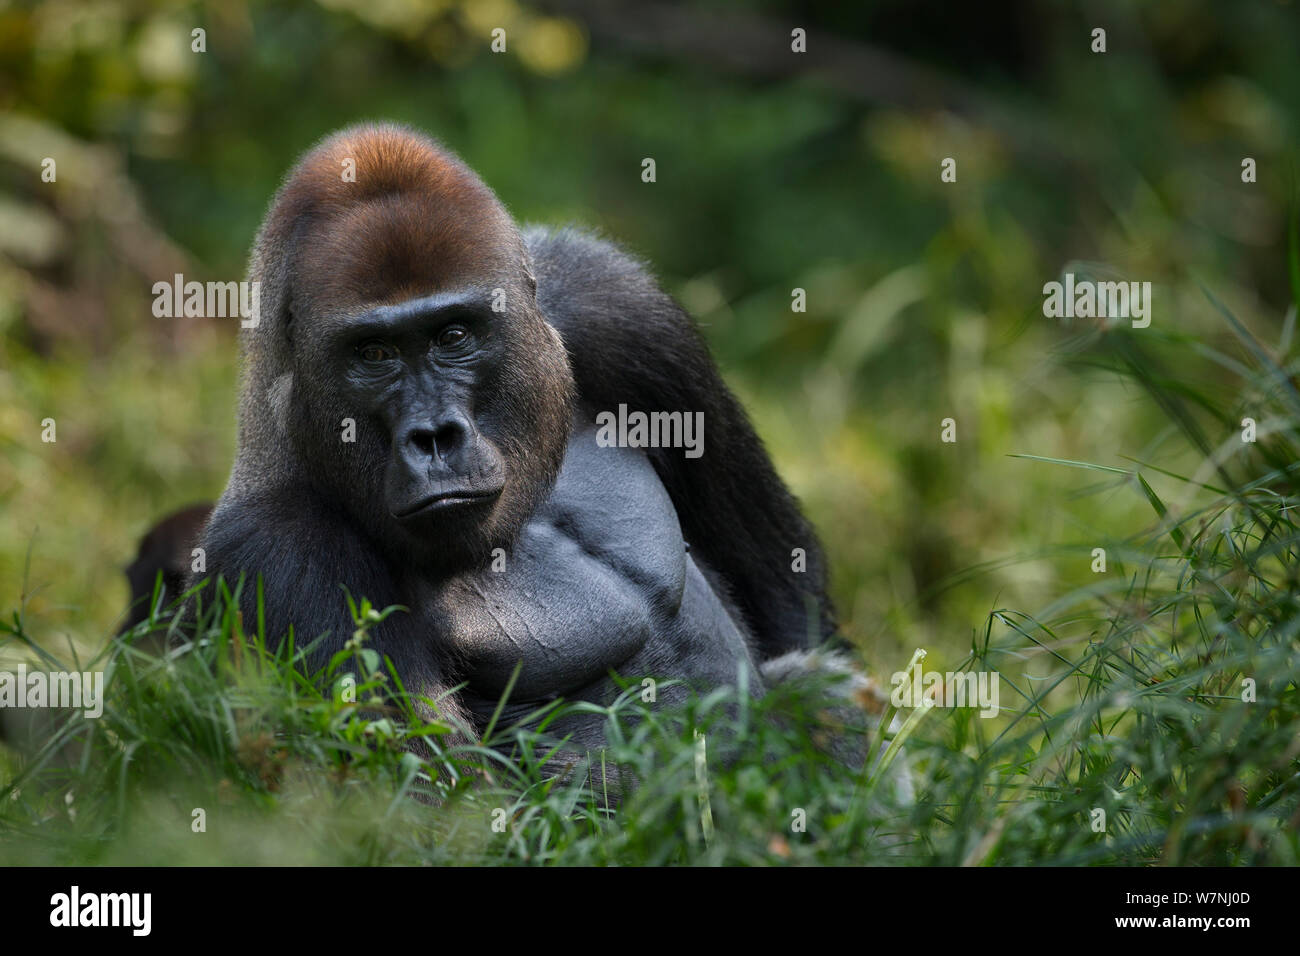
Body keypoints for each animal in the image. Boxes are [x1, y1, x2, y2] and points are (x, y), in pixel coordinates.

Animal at [186, 122, 841, 761]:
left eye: (453, 336)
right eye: (373, 354)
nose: (434, 436)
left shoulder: (612, 302)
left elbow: (786, 593)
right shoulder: (276, 549)